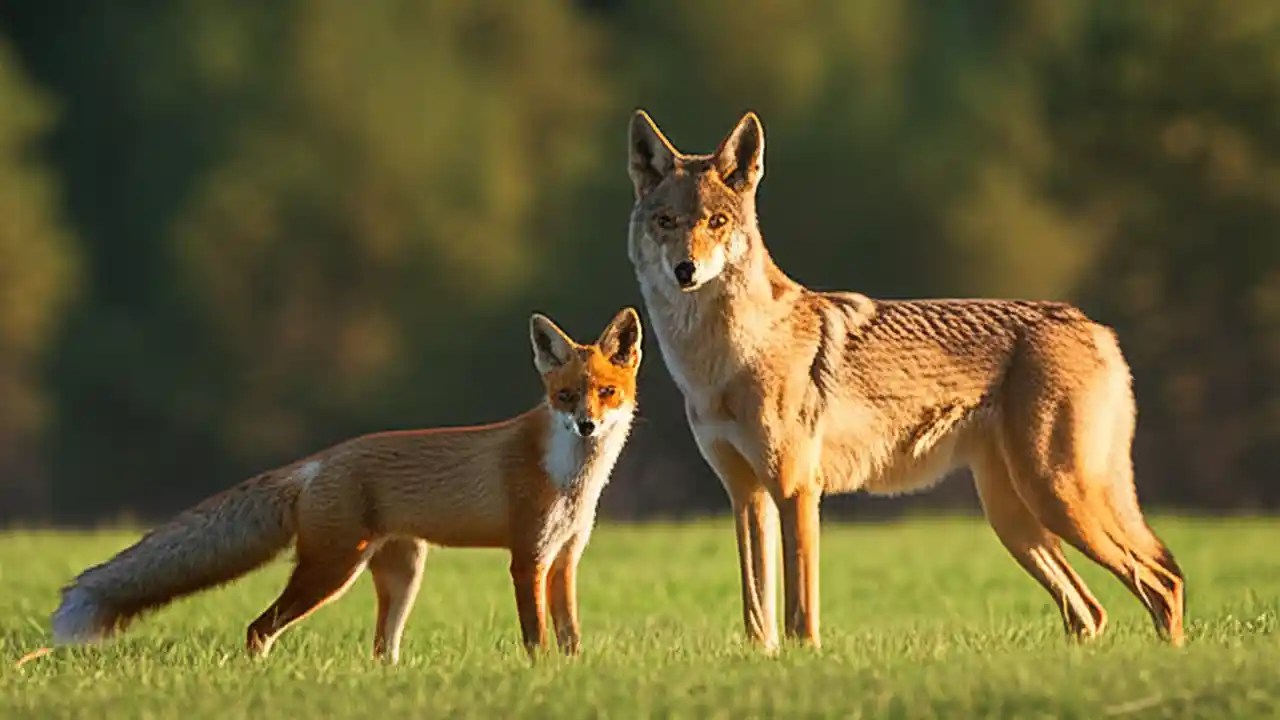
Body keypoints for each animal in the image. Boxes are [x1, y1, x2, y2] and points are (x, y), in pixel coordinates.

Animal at [50, 308, 644, 662]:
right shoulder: (527, 558)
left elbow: (569, 635)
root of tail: (318, 461)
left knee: (381, 650)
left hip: (402, 573)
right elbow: (536, 636)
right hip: (332, 570)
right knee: (258, 627)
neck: (572, 480)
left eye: (606, 393)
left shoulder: (565, 558)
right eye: (565, 396)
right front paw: (539, 675)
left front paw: (570, 674)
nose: (587, 425)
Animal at [626, 109, 1185, 650]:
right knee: (1091, 612)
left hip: (1059, 498)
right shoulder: (746, 497)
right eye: (666, 221)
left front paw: (806, 663)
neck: (720, 362)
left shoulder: (796, 491)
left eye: (717, 222)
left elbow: (800, 616)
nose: (685, 269)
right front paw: (763, 663)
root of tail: (1093, 326)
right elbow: (758, 617)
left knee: (1163, 581)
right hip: (1016, 518)